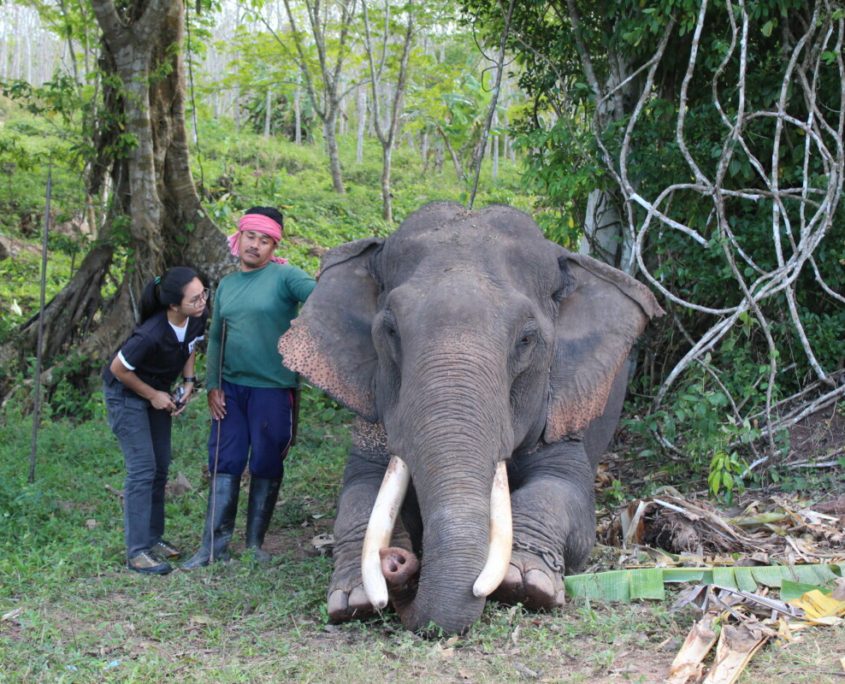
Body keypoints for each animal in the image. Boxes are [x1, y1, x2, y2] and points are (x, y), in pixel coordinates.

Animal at [278, 202, 663, 635]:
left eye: (526, 339)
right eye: (390, 330)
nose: (397, 565)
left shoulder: (563, 409)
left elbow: (563, 493)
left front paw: (525, 584)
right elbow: (360, 493)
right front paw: (355, 600)